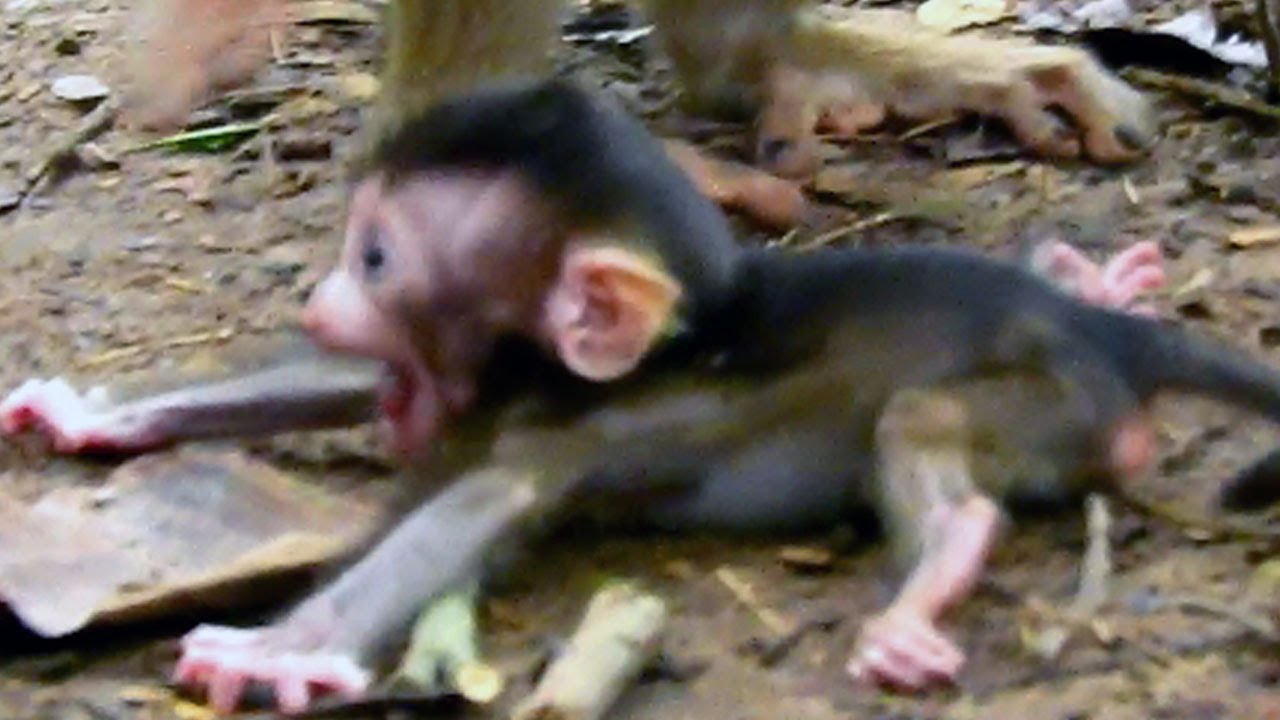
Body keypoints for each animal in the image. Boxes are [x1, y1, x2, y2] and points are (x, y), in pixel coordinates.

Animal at [2, 81, 1270, 713]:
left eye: (376, 258)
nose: (319, 300)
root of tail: (1105, 341)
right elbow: (349, 389)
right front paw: (93, 414)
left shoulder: (561, 424)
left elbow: (472, 512)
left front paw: (282, 649)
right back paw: (1088, 272)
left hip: (1049, 398)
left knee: (921, 427)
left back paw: (934, 572)